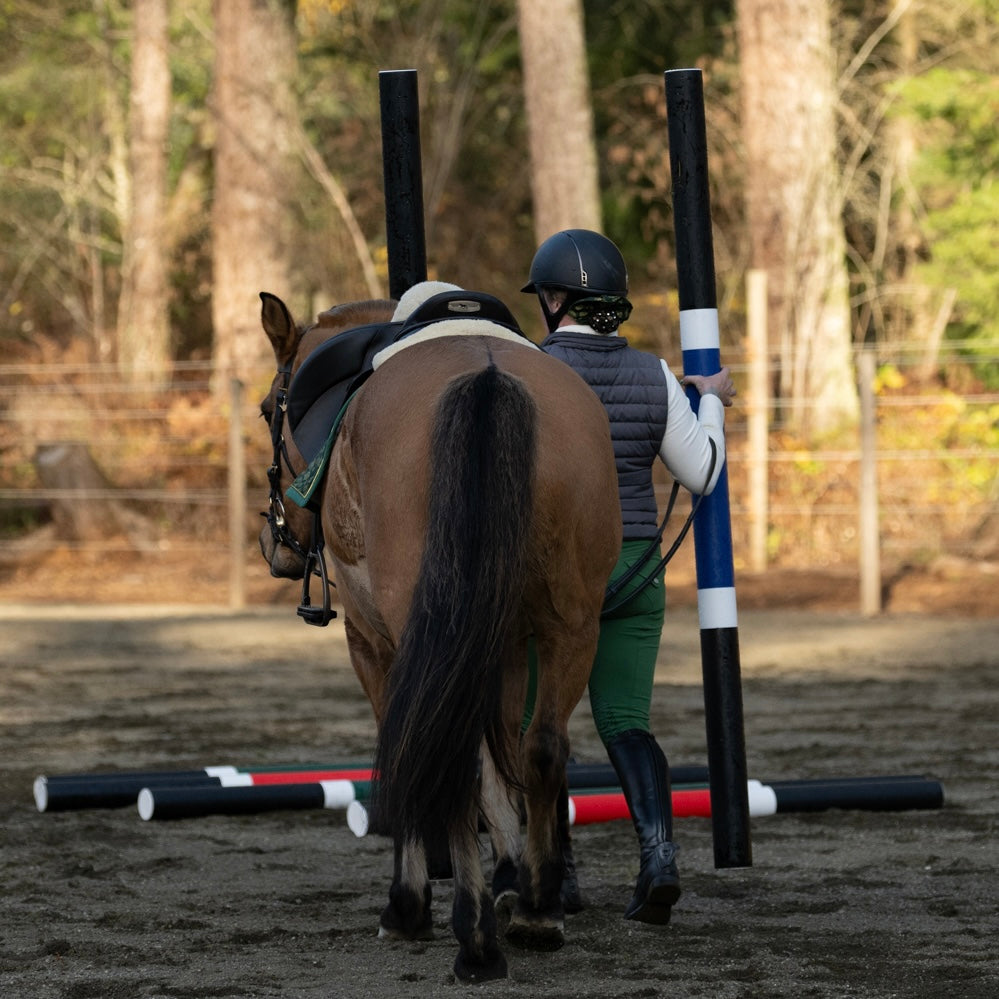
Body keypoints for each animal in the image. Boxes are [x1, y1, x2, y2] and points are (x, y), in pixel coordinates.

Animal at [257, 286, 621, 983]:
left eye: (267, 410)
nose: (273, 544)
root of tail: (487, 377)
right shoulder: (504, 647)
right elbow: (504, 753)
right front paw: (513, 877)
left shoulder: (376, 645)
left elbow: (406, 750)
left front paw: (410, 905)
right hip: (571, 625)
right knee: (542, 746)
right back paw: (536, 911)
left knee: (451, 755)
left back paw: (474, 940)